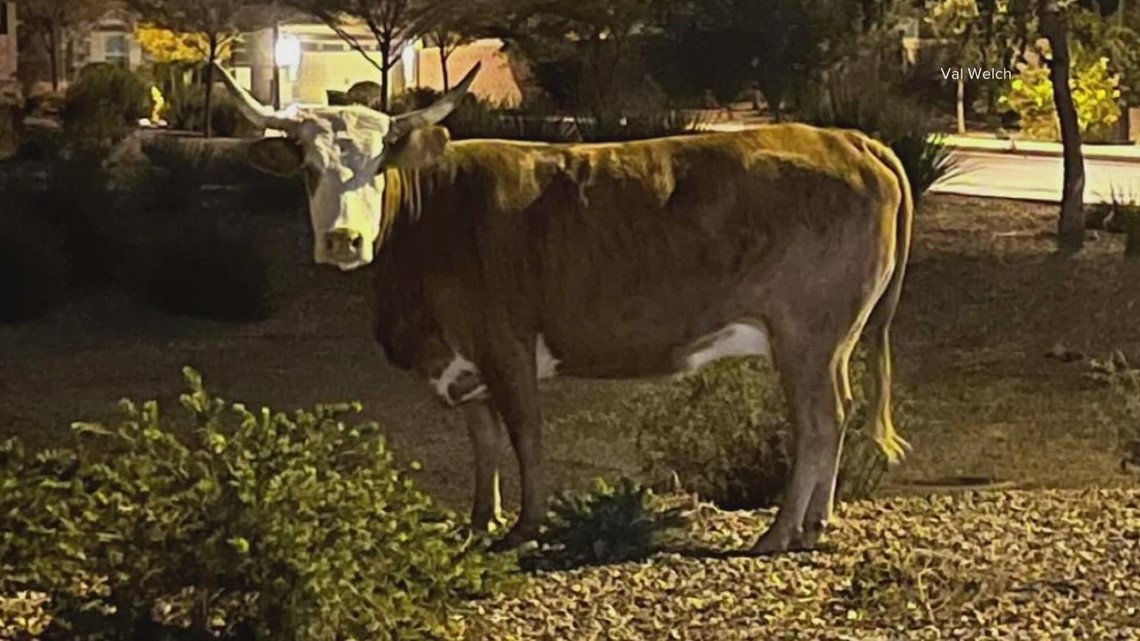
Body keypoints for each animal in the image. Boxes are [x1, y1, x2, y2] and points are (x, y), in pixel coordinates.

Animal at [214, 62, 913, 554]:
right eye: (308, 167)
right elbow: (485, 441)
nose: (342, 240)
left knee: (819, 421)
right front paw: (481, 520)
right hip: (828, 343)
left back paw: (779, 533)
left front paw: (526, 525)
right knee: (835, 416)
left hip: (807, 337)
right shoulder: (465, 362)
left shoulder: (507, 345)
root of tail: (849, 140)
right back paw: (815, 523)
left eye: (378, 163)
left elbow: (525, 433)